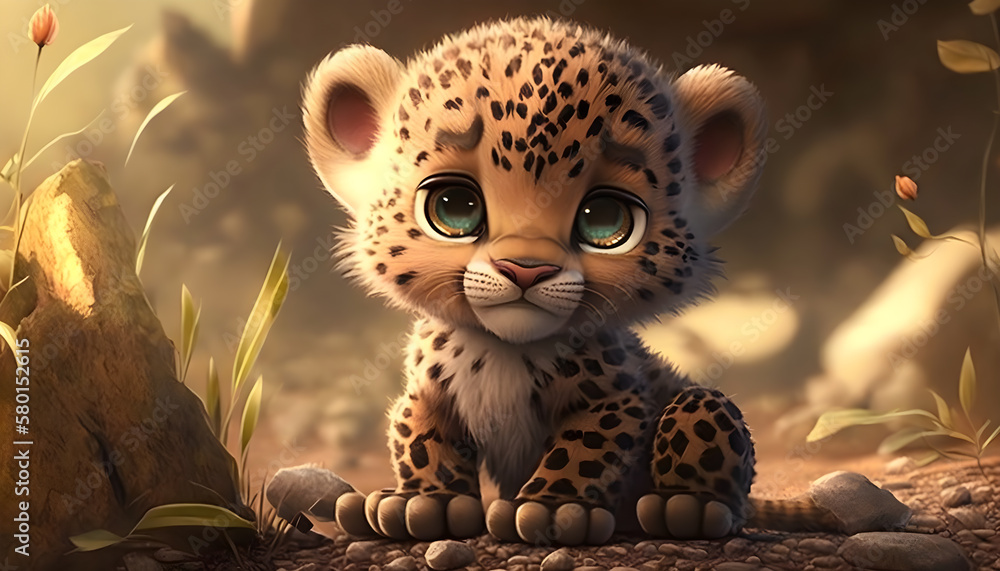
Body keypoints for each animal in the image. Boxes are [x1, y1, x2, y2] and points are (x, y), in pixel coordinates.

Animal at [301, 16, 826, 545]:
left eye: (605, 219)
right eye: (453, 207)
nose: (525, 269)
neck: (504, 352)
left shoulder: (612, 397)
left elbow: (583, 448)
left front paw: (551, 509)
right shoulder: (429, 392)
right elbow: (421, 437)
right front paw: (426, 503)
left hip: (701, 406)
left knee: (707, 426)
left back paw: (687, 507)